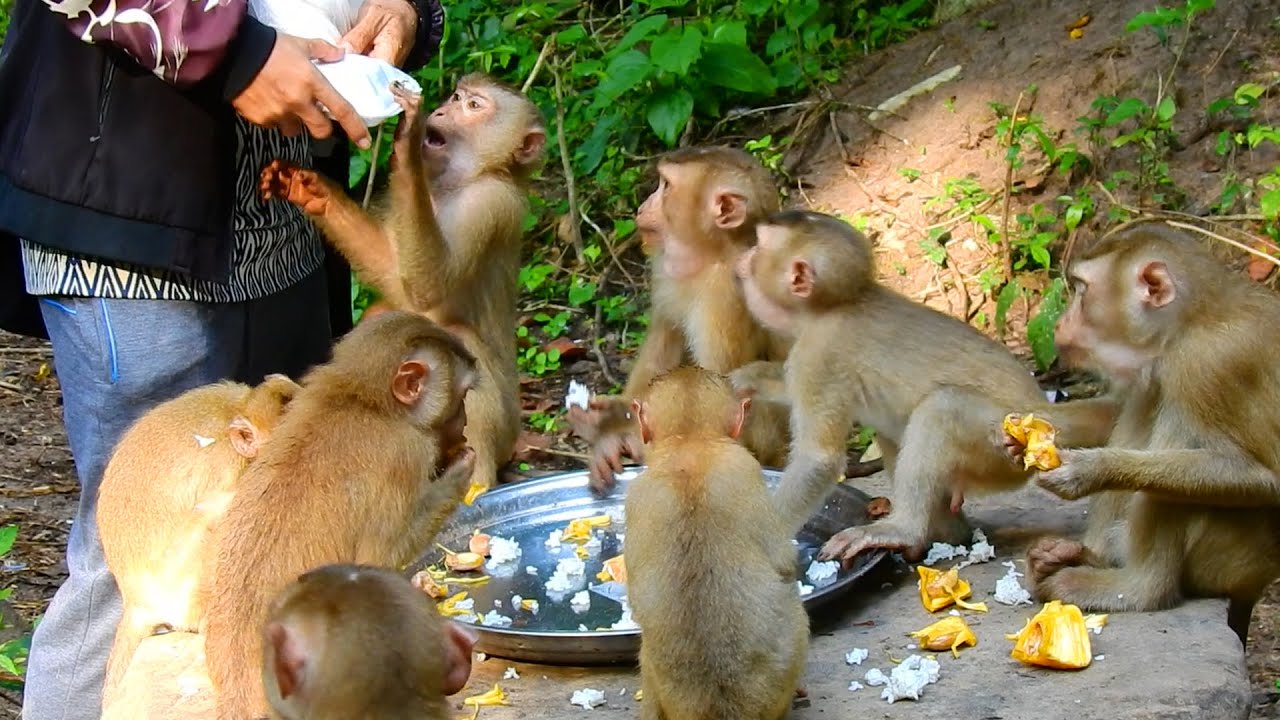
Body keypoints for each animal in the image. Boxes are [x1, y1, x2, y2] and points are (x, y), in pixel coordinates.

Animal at [259, 73, 546, 492]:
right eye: (456, 97)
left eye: (473, 106)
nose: (441, 111)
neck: (460, 181)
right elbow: (397, 276)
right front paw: (312, 191)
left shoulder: (488, 202)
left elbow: (427, 287)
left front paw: (406, 145)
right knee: (384, 310)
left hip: (505, 428)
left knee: (456, 333)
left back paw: (475, 483)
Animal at [732, 210, 1117, 562]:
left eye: (758, 246)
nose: (743, 258)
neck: (827, 310)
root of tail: (1046, 414)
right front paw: (747, 379)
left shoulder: (818, 357)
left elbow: (818, 460)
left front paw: (754, 545)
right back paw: (944, 534)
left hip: (1005, 448)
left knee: (941, 409)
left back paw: (904, 530)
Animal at [1003, 221, 1280, 644]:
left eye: (1082, 291)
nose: (1061, 322)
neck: (1191, 322)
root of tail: (1254, 585)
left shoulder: (1208, 365)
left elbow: (1265, 479)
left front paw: (1088, 470)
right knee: (1146, 400)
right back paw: (1082, 558)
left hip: (1232, 559)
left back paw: (1138, 588)